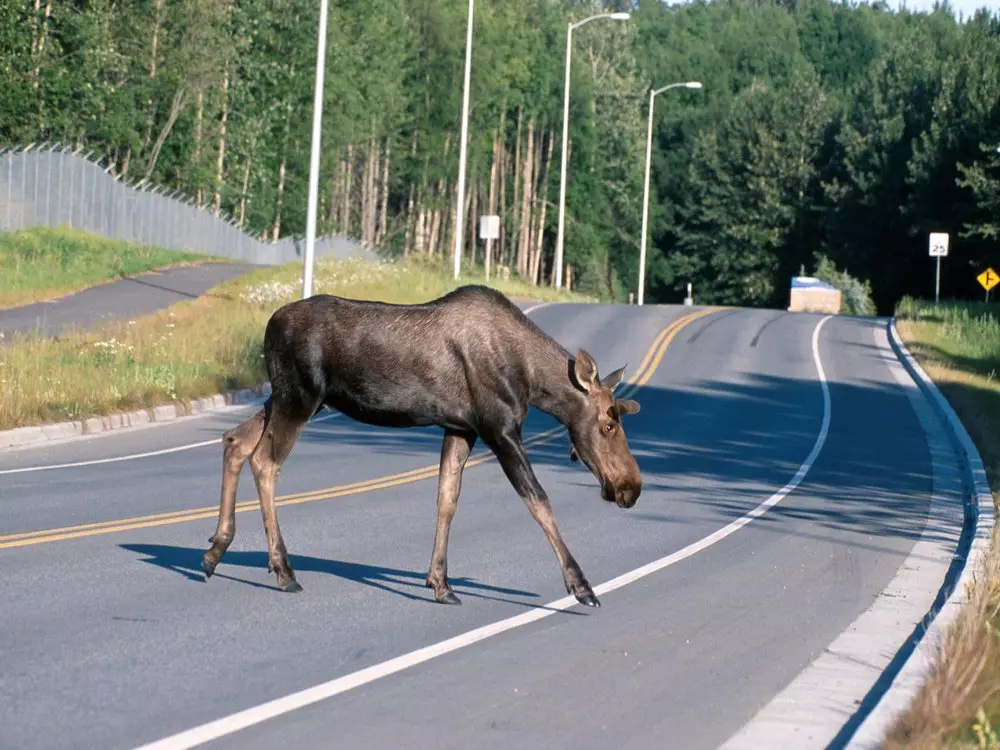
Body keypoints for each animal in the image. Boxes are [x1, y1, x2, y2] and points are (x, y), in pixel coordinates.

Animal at [199, 284, 644, 608]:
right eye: (608, 424)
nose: (631, 487)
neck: (532, 382)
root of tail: (269, 325)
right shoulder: (499, 428)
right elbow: (538, 500)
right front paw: (582, 586)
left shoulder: (461, 428)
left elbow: (447, 499)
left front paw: (441, 583)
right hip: (299, 397)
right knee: (264, 461)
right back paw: (283, 571)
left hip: (285, 398)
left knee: (235, 441)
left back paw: (215, 550)